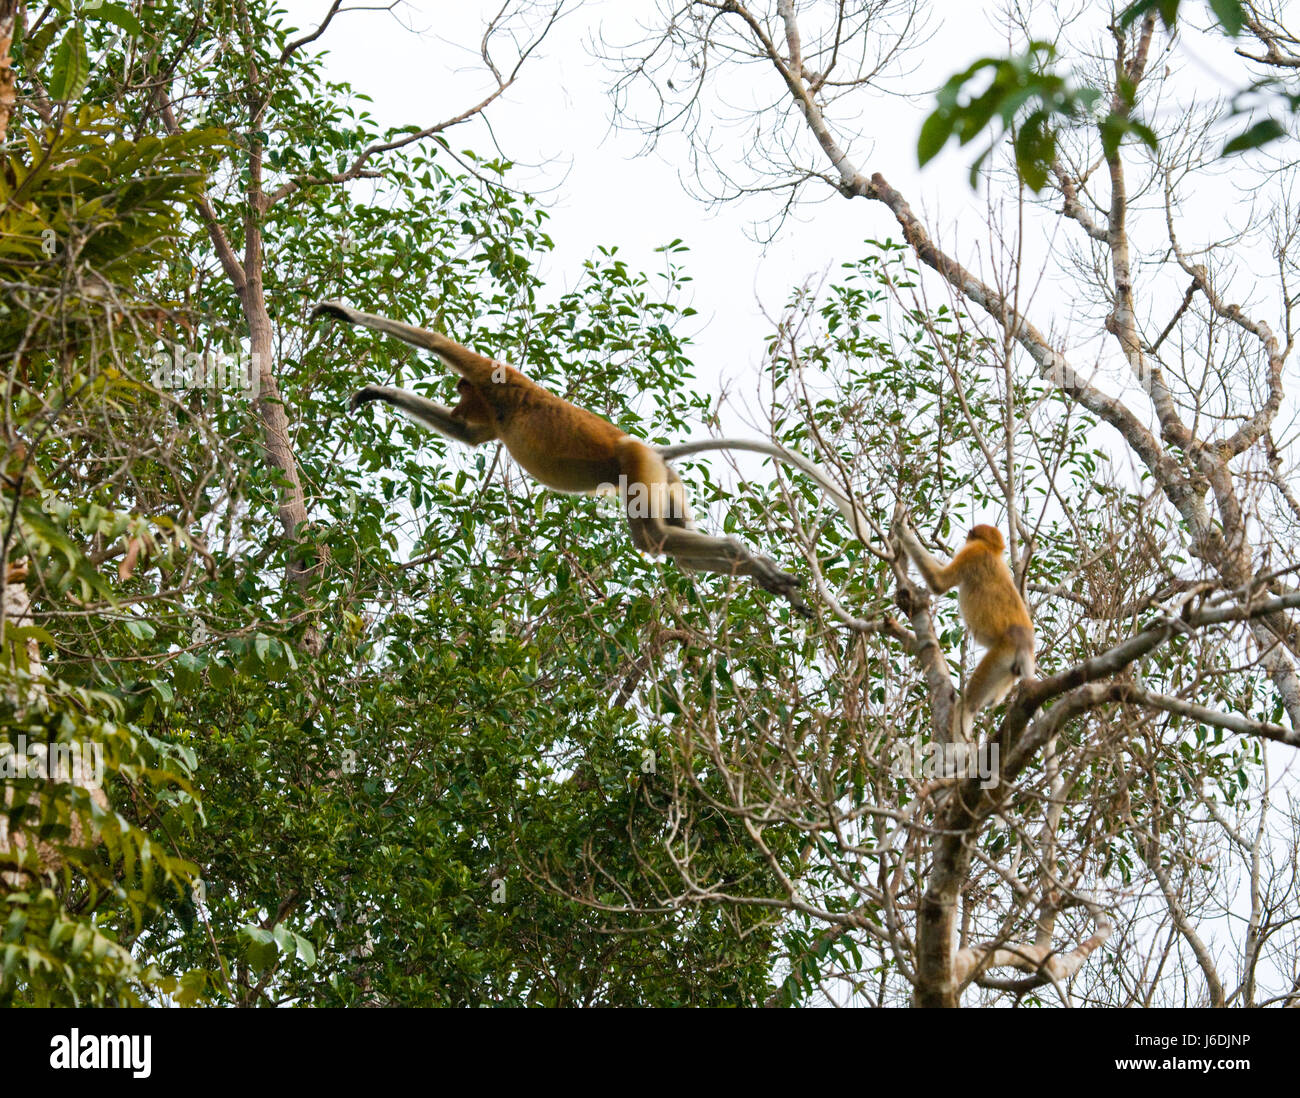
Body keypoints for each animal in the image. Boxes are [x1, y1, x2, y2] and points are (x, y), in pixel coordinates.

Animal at [311, 301, 810, 615]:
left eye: (462, 390)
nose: (457, 404)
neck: (498, 405)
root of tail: (652, 449)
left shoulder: (498, 379)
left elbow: (438, 343)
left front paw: (342, 312)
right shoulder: (491, 414)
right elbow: (467, 436)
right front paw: (376, 392)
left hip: (638, 468)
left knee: (652, 539)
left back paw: (746, 557)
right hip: (667, 482)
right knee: (674, 547)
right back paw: (768, 576)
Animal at [893, 513, 1035, 739]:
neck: (992, 551)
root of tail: (1025, 644)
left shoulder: (973, 553)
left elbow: (939, 582)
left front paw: (902, 530)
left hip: (1001, 655)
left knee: (968, 704)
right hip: (1007, 672)